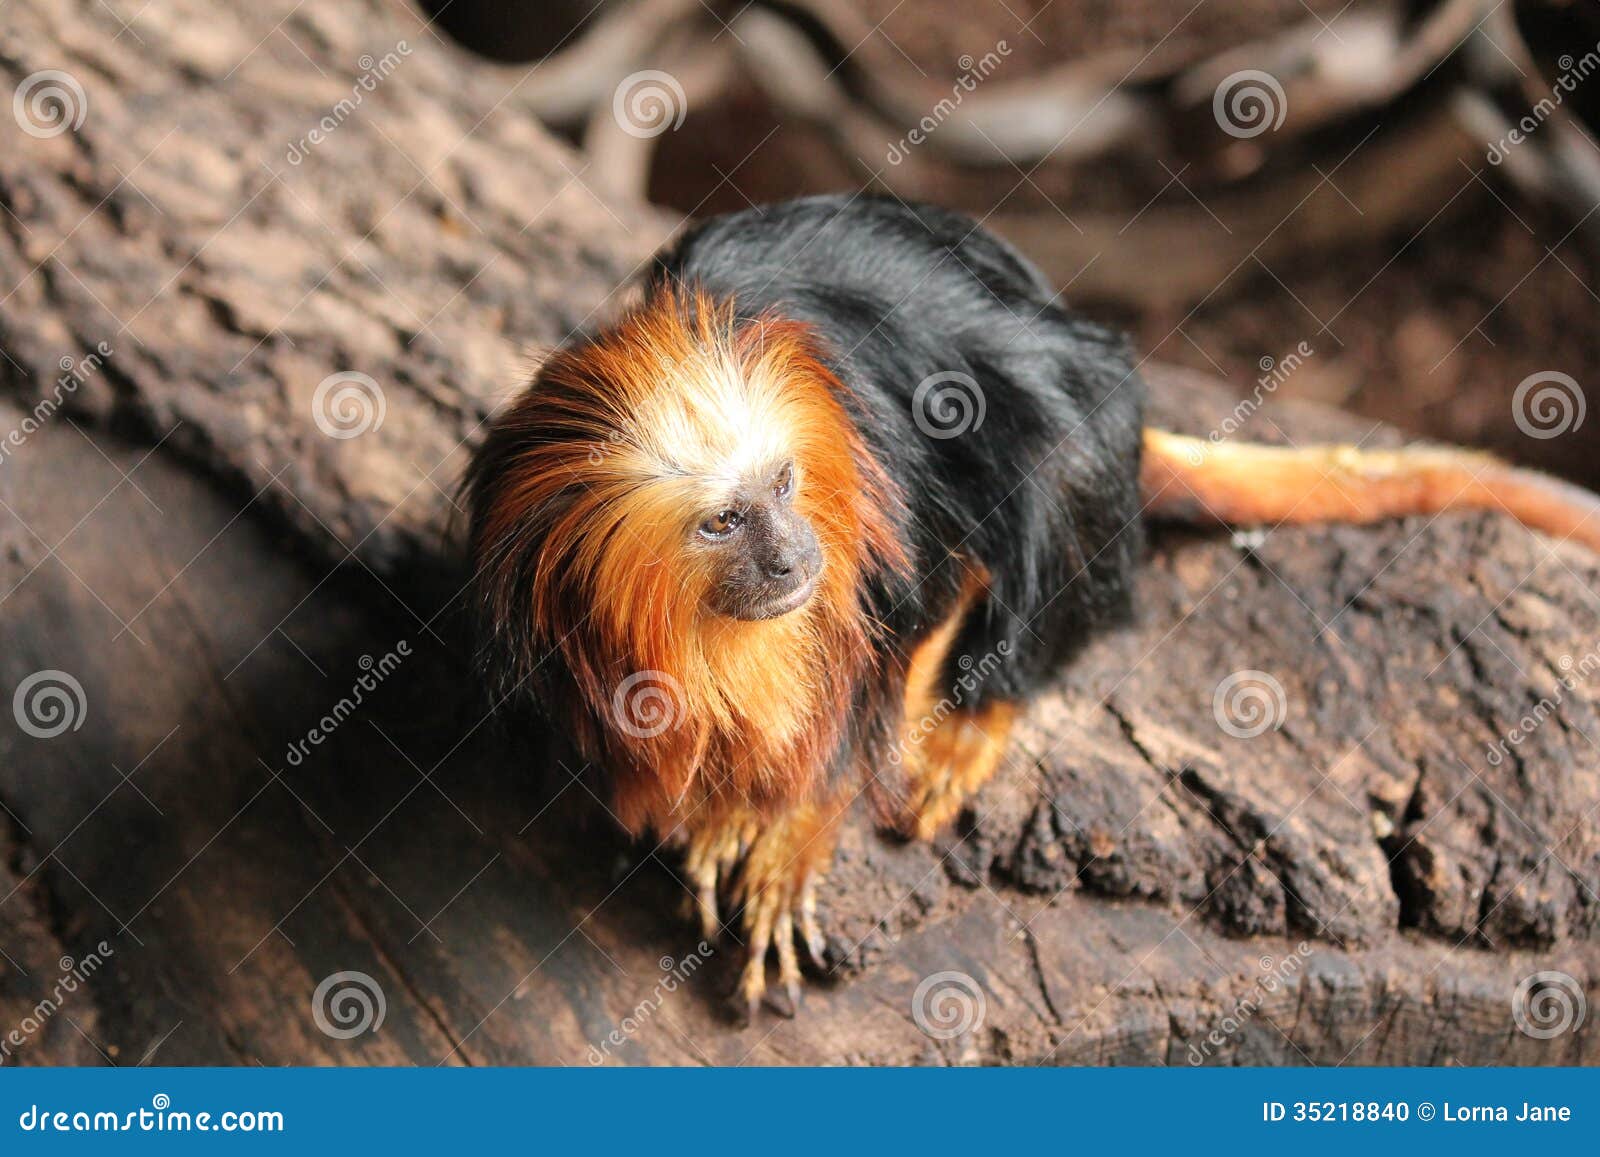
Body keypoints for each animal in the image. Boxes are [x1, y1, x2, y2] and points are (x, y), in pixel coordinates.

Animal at [465, 194, 1600, 1019]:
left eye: (785, 485)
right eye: (722, 522)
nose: (793, 556)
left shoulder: (882, 511)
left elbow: (926, 613)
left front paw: (791, 822)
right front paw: (724, 804)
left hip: (1086, 435)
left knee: (1056, 452)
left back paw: (981, 709)